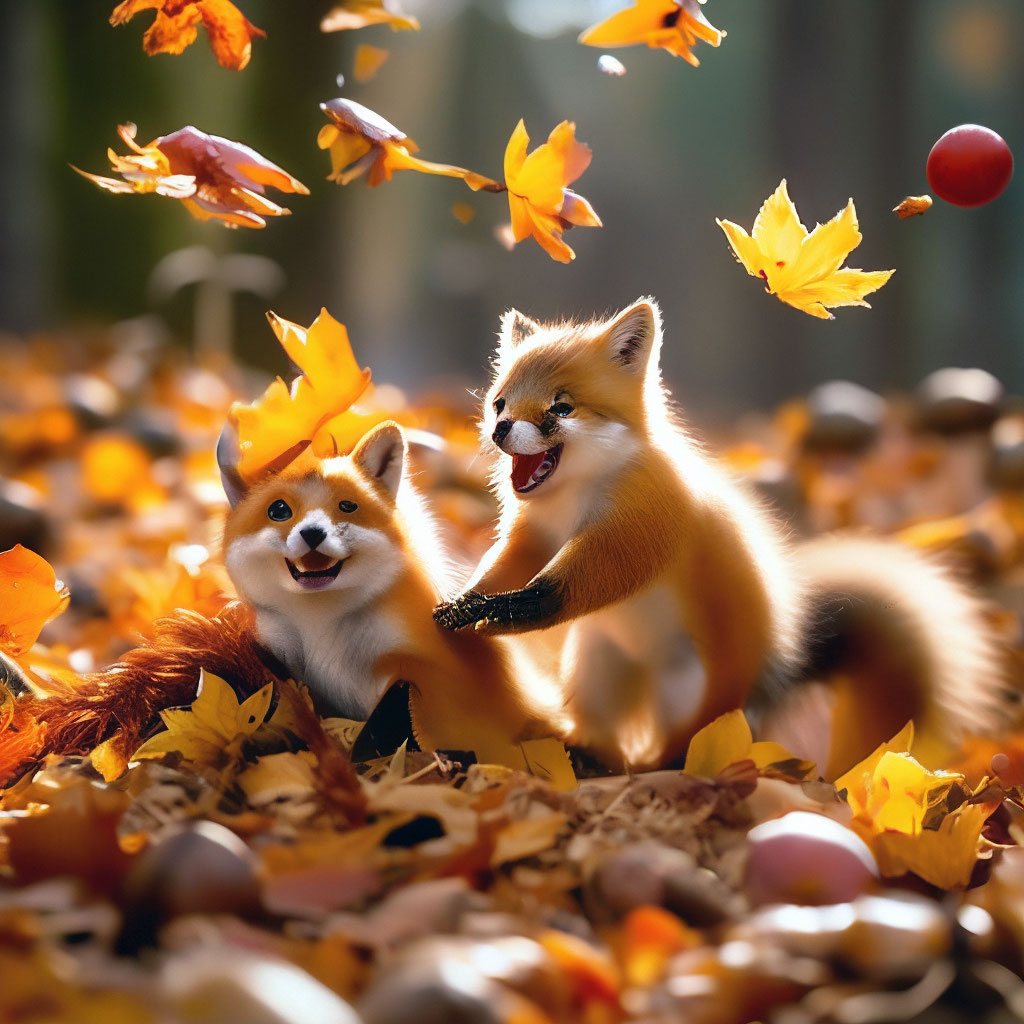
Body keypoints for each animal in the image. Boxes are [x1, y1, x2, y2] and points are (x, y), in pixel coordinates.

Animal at [433, 298, 1009, 775]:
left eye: (561, 407)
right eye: (500, 403)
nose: (501, 431)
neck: (577, 498)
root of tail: (765, 679)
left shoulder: (634, 538)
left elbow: (555, 592)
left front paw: (504, 613)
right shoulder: (534, 537)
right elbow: (498, 573)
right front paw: (463, 605)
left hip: (683, 690)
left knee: (676, 754)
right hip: (594, 670)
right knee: (614, 745)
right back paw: (585, 755)